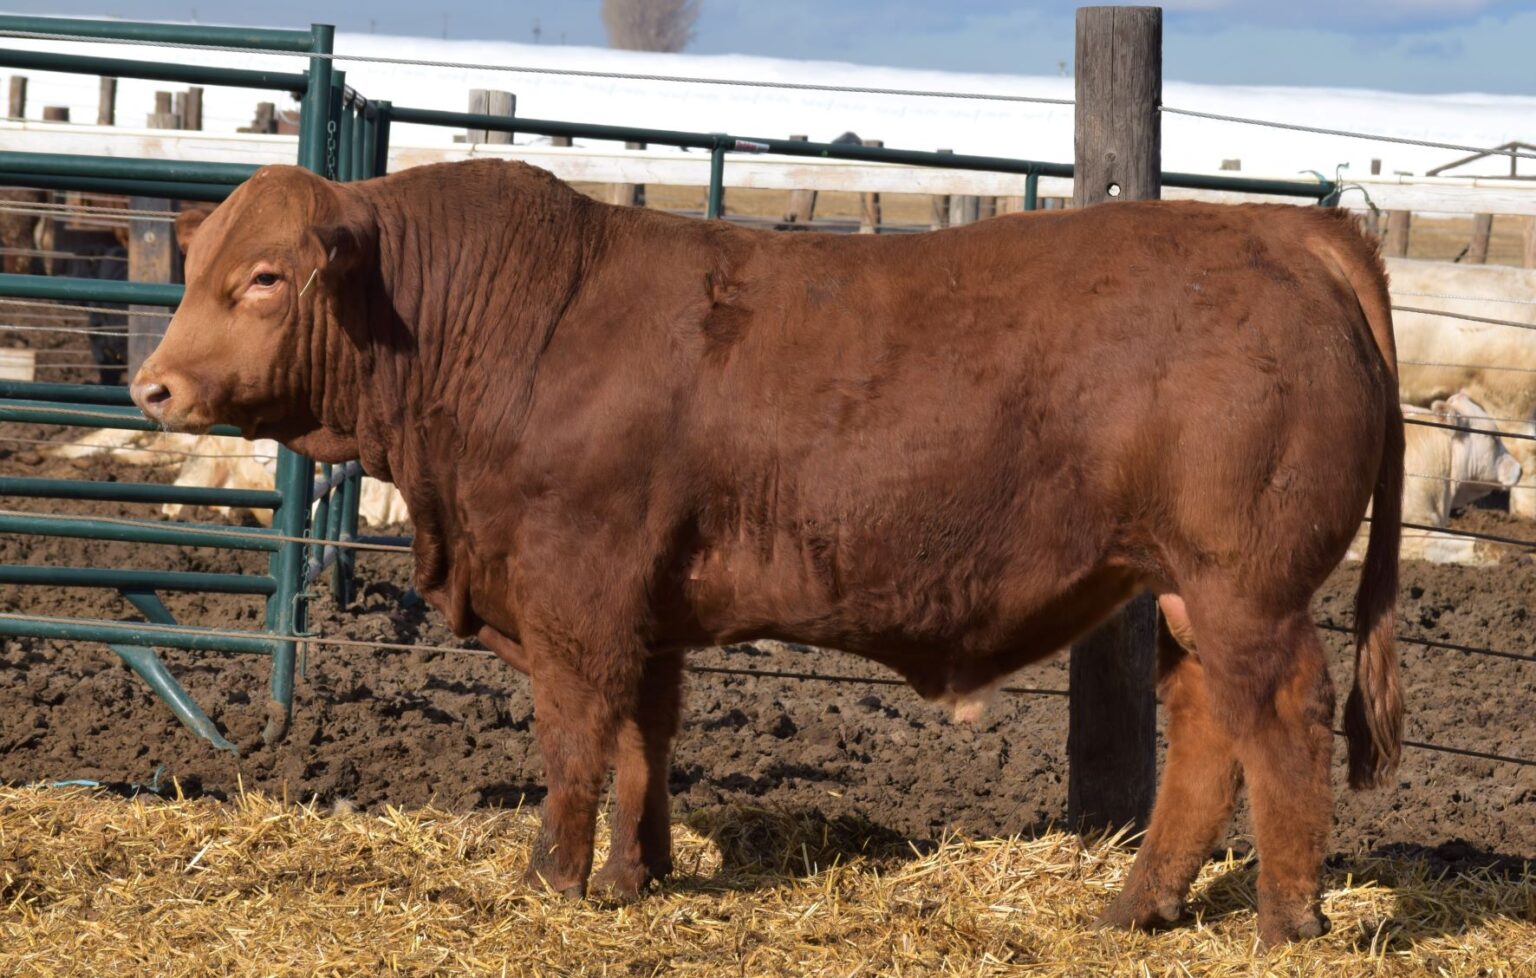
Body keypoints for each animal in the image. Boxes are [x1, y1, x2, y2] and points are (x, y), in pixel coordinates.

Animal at [130, 160, 1403, 945]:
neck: (506, 326)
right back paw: (1137, 904)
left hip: (1247, 587)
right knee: (1208, 735)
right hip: (1182, 589)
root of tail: (1285, 226)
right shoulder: (646, 605)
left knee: (1282, 720)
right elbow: (643, 740)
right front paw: (638, 873)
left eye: (265, 278)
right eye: (198, 271)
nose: (155, 387)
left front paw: (553, 881)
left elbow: (577, 738)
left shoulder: (579, 589)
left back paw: (1287, 919)